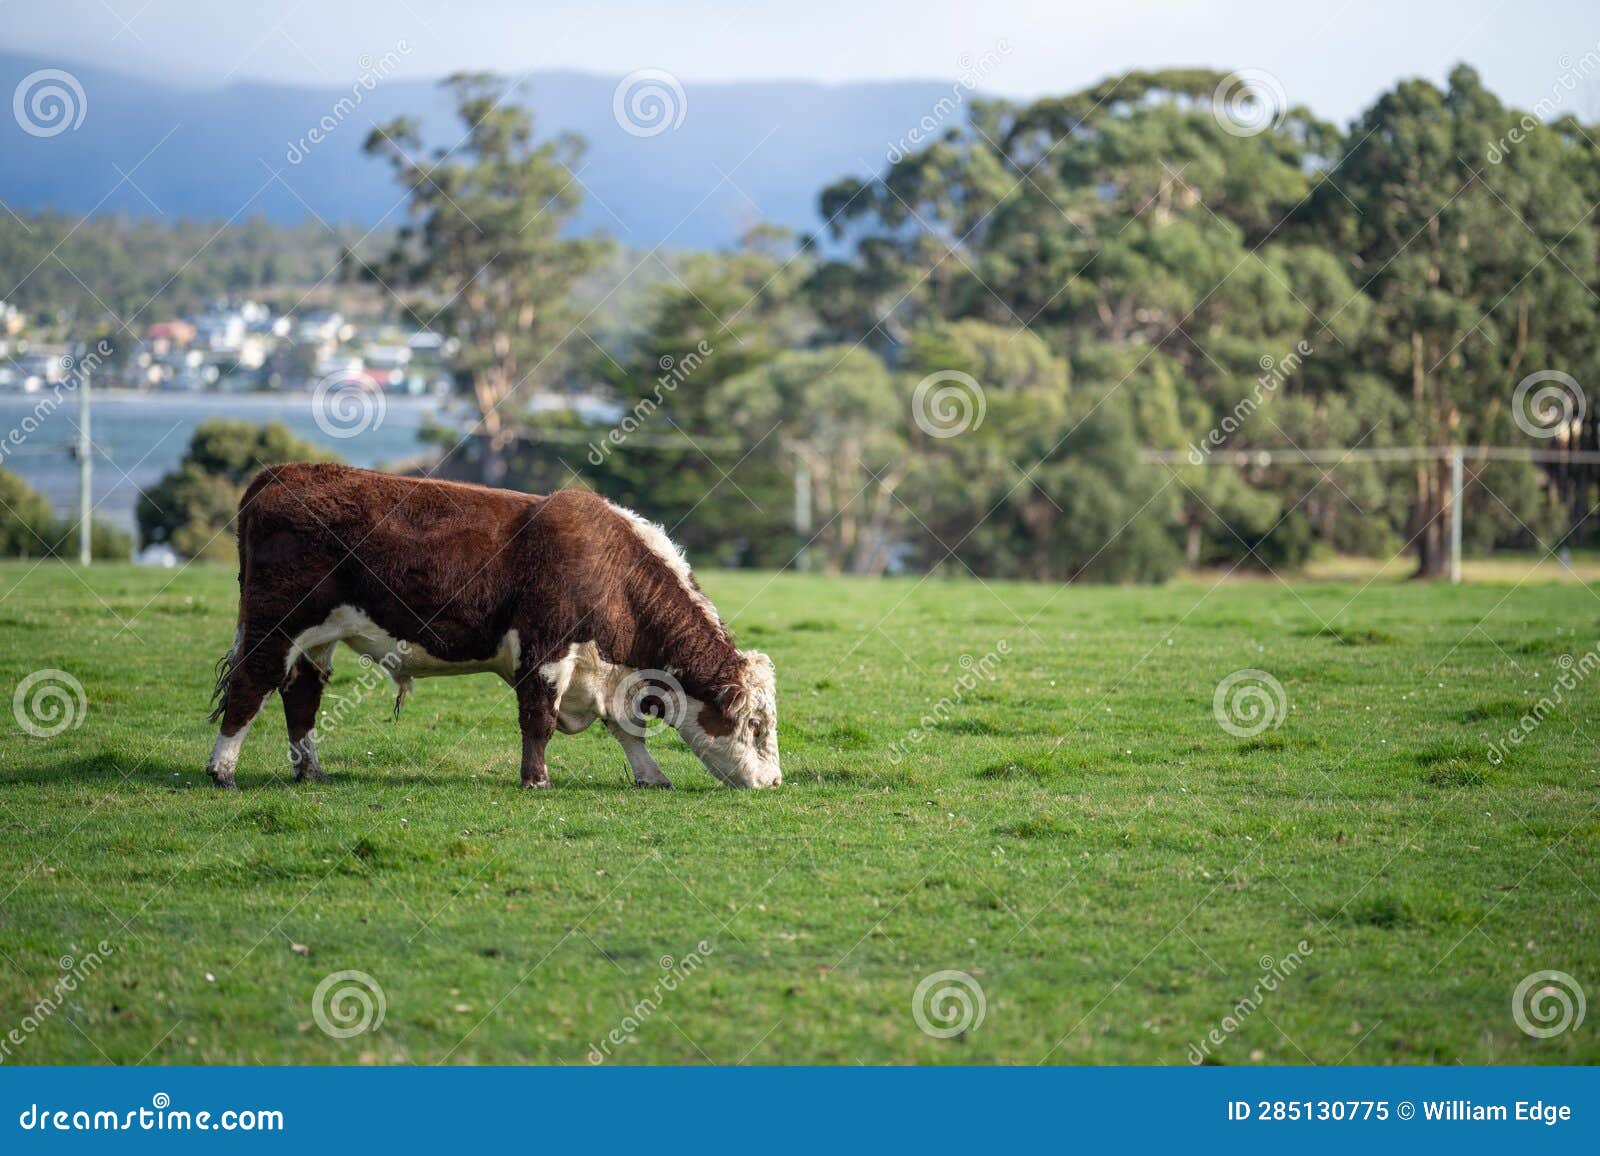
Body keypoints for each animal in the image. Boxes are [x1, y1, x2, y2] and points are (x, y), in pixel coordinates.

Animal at [205, 463, 780, 791]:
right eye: (755, 725)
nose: (774, 781)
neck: (610, 570)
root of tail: (280, 473)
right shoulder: (545, 651)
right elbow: (538, 720)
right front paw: (537, 780)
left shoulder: (606, 670)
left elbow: (625, 727)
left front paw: (651, 776)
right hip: (275, 623)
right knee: (251, 685)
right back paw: (223, 770)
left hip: (315, 639)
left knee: (301, 695)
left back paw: (310, 771)